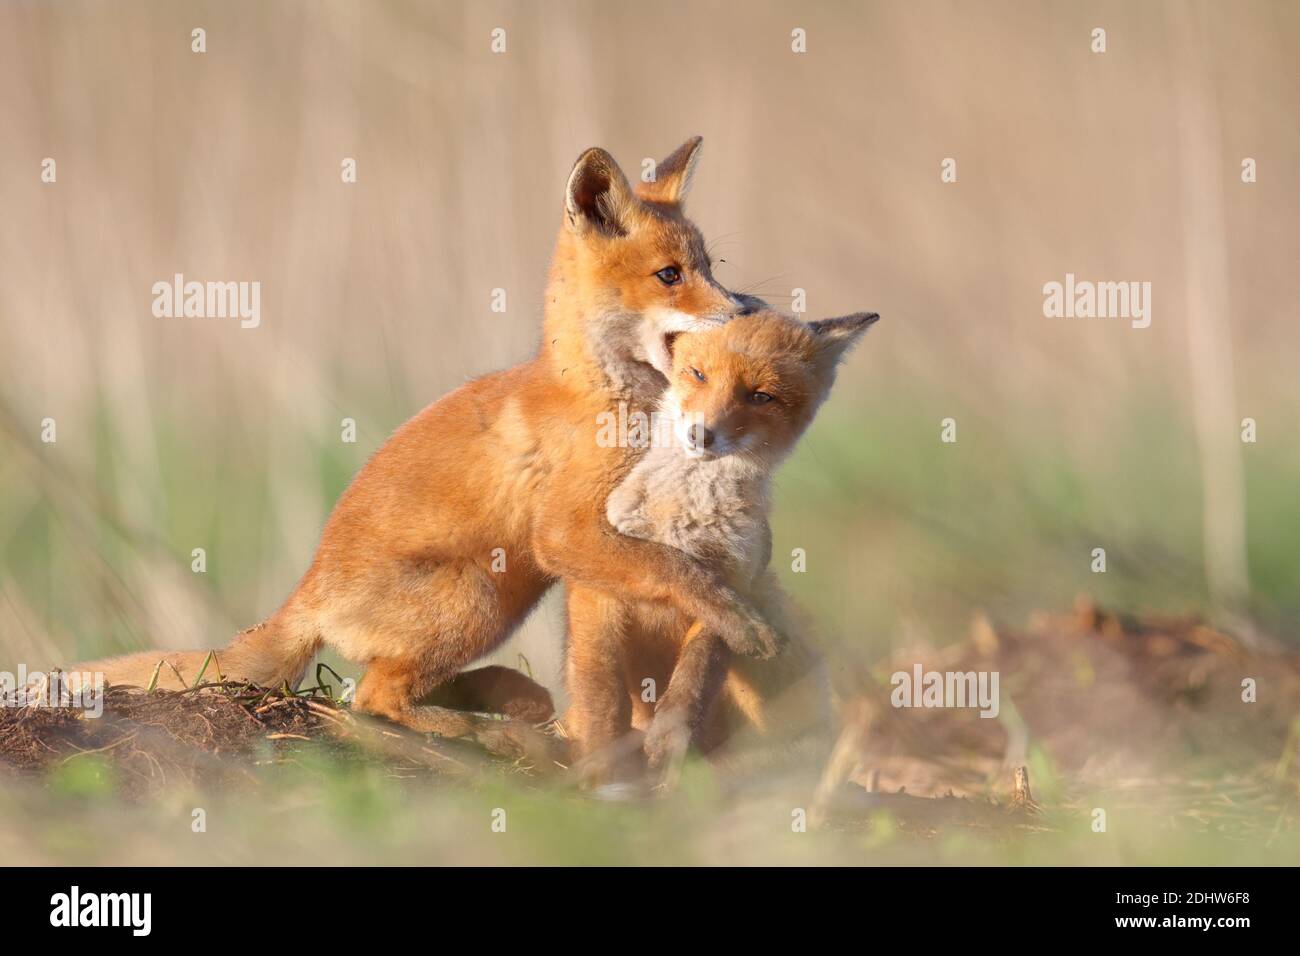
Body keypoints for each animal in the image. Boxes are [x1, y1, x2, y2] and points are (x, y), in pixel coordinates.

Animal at [71, 137, 785, 759]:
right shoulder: (565, 531)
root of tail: (306, 591)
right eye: (669, 275)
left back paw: (502, 700)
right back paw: (479, 730)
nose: (746, 309)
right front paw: (742, 622)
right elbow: (672, 568)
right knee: (372, 698)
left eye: (711, 267)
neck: (601, 397)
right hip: (477, 596)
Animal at [564, 308, 878, 781]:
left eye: (761, 396)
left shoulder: (735, 580)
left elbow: (696, 675)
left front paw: (670, 737)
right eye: (698, 374)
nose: (702, 434)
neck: (683, 517)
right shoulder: (601, 579)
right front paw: (603, 758)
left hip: (772, 611)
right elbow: (600, 689)